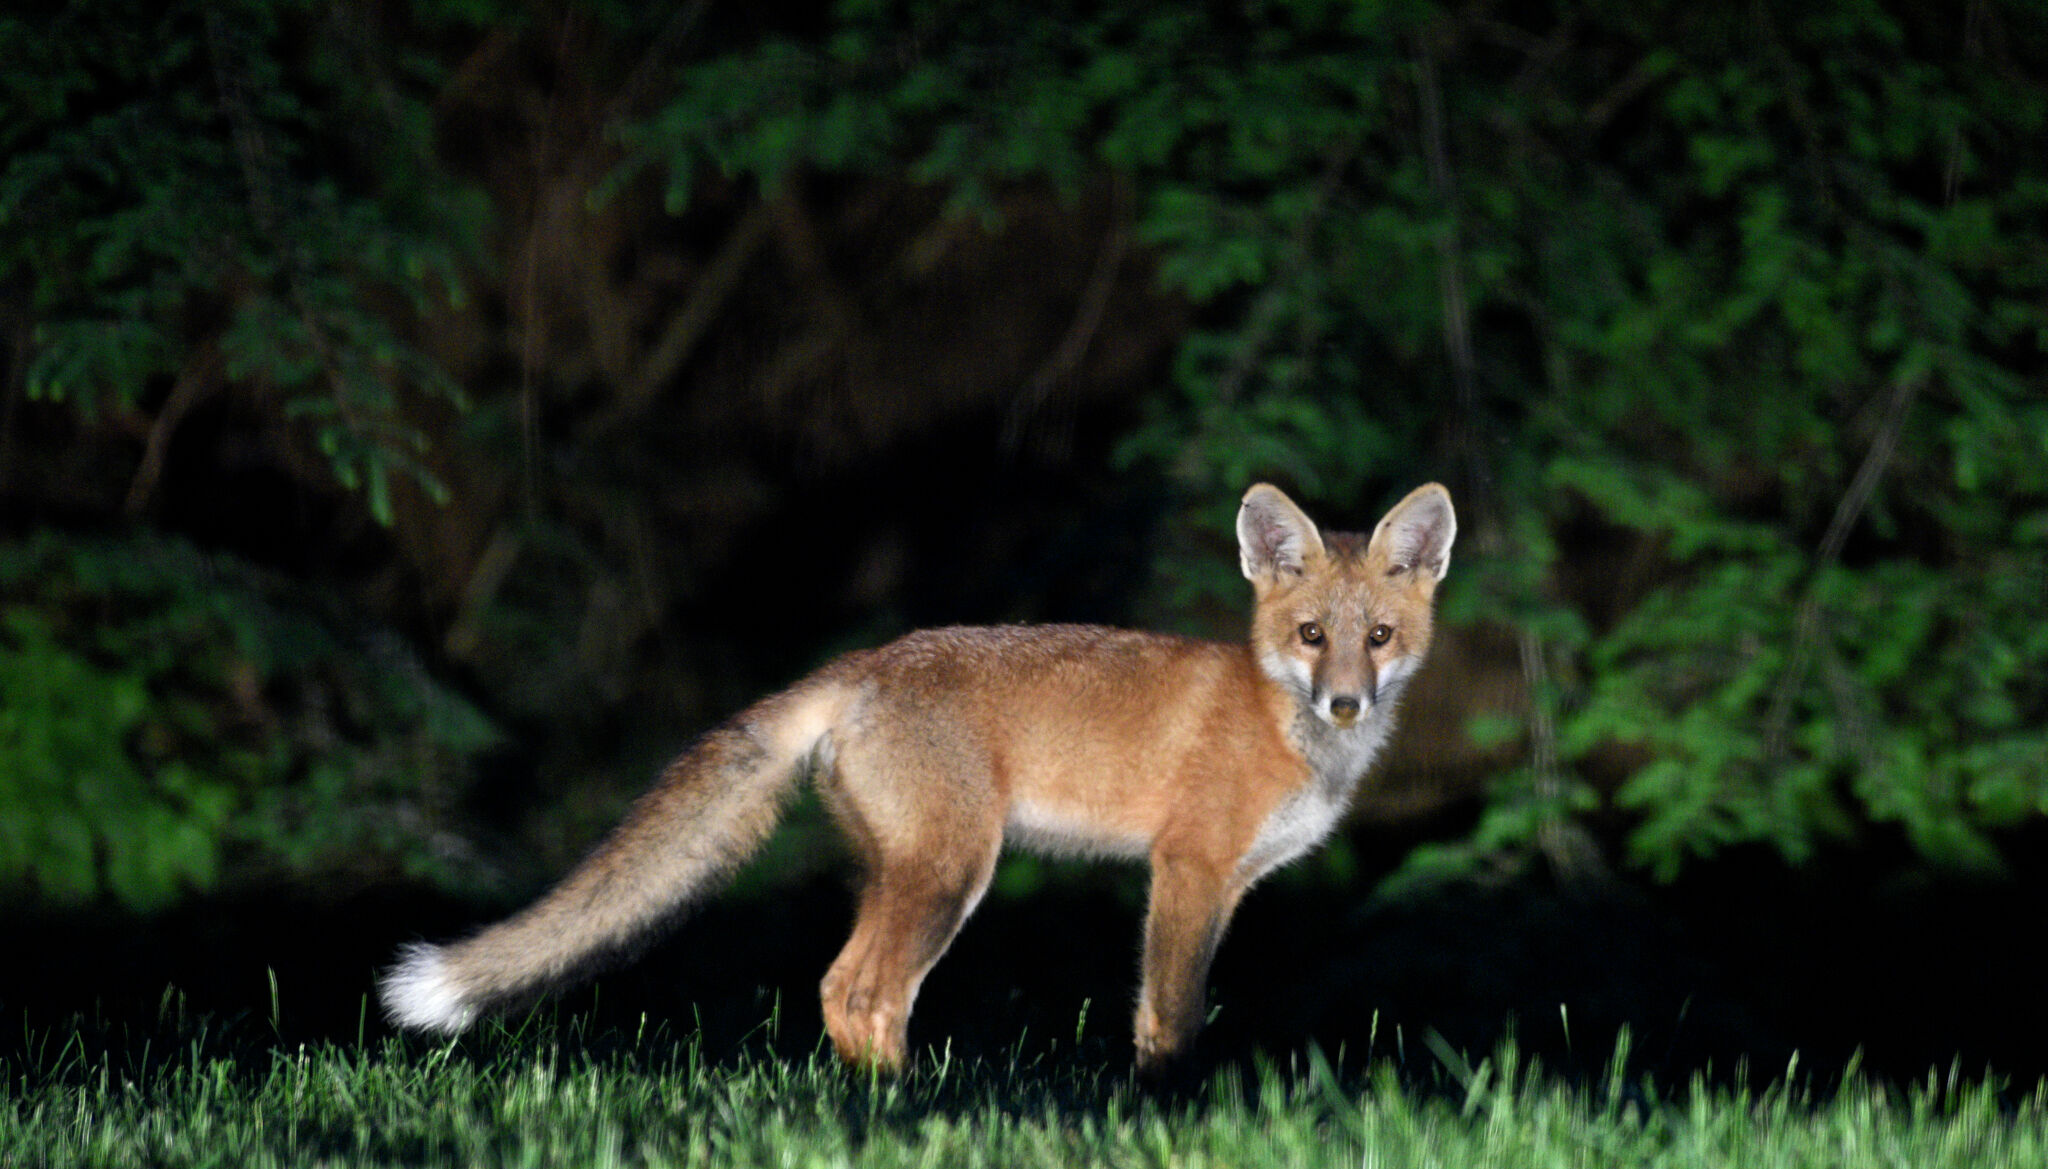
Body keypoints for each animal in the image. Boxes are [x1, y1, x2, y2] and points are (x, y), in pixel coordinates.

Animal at [379, 481, 1455, 1071]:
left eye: (1377, 638)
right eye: (1309, 635)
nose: (1345, 705)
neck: (1279, 723)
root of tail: (863, 662)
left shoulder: (1227, 885)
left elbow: (1178, 1009)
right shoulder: (1185, 869)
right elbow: (1169, 1014)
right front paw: (1167, 1106)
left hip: (900, 873)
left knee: (846, 990)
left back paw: (881, 1103)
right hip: (950, 873)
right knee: (862, 989)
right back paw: (895, 1107)